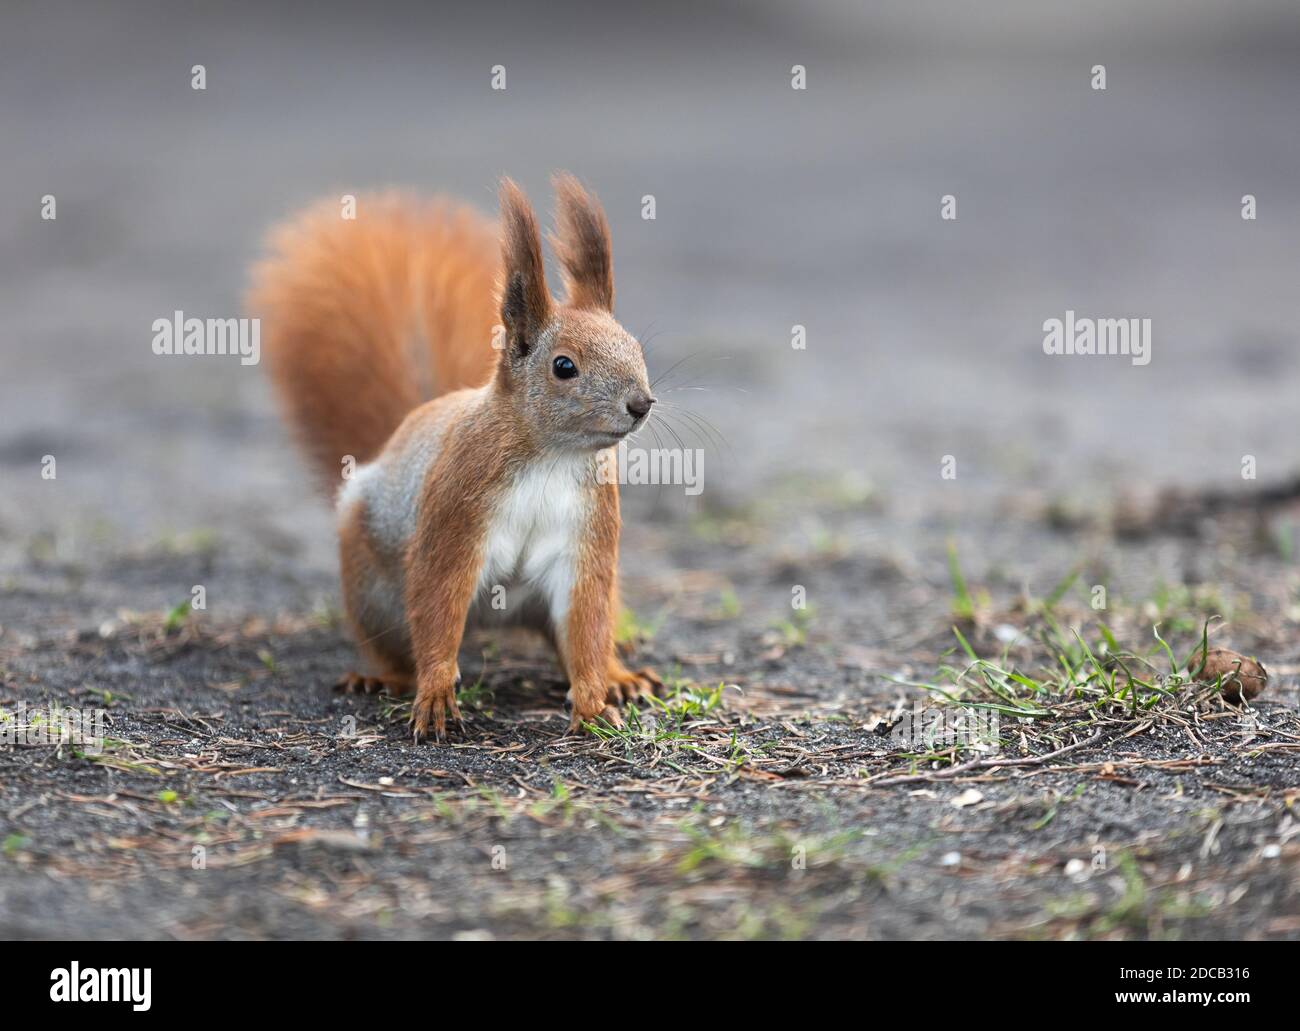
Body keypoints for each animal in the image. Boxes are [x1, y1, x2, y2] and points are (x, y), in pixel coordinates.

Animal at [248, 174, 660, 739]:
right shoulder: (455, 514)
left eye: (636, 349)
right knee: (400, 644)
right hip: (375, 595)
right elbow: (438, 604)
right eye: (563, 366)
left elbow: (586, 624)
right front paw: (437, 695)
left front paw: (595, 704)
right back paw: (384, 678)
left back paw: (621, 675)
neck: (550, 456)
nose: (641, 403)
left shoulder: (587, 536)